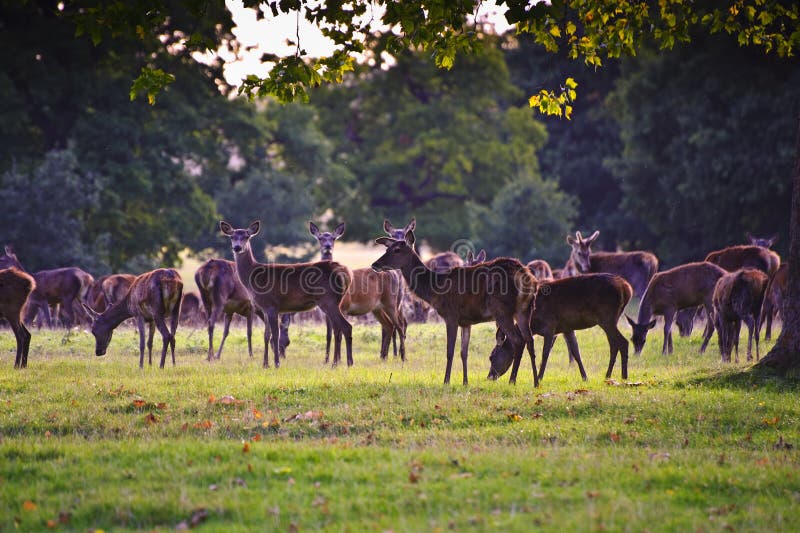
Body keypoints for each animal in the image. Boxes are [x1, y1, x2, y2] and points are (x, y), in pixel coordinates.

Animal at [220, 220, 353, 368]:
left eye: (246, 236)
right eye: (232, 237)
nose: (237, 247)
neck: (254, 278)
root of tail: (345, 272)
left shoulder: (272, 304)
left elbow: (275, 334)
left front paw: (277, 363)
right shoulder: (264, 308)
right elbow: (266, 335)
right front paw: (265, 364)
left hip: (328, 300)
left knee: (346, 327)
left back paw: (348, 363)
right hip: (334, 301)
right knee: (338, 328)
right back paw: (336, 363)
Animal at [309, 221, 406, 361]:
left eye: (333, 238)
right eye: (320, 238)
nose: (327, 246)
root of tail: (393, 272)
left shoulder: (343, 307)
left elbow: (338, 333)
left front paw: (337, 360)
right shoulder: (327, 312)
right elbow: (329, 334)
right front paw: (328, 360)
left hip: (391, 302)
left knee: (399, 326)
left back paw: (402, 357)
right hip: (377, 308)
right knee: (389, 326)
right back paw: (384, 357)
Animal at [373, 230, 537, 385]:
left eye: (397, 250)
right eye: (387, 249)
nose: (375, 264)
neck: (435, 290)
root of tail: (524, 275)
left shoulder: (451, 315)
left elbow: (450, 351)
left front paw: (446, 381)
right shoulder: (466, 321)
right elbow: (464, 352)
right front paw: (465, 382)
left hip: (502, 311)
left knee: (518, 340)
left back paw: (512, 381)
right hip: (525, 310)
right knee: (529, 340)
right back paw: (536, 382)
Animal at [491, 273, 632, 382]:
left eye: (491, 356)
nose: (490, 376)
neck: (533, 324)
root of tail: (627, 290)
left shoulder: (550, 326)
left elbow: (545, 354)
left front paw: (539, 378)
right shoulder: (567, 328)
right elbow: (576, 352)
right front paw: (585, 378)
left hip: (607, 317)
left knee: (623, 342)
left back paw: (624, 376)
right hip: (610, 319)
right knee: (614, 345)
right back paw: (608, 376)